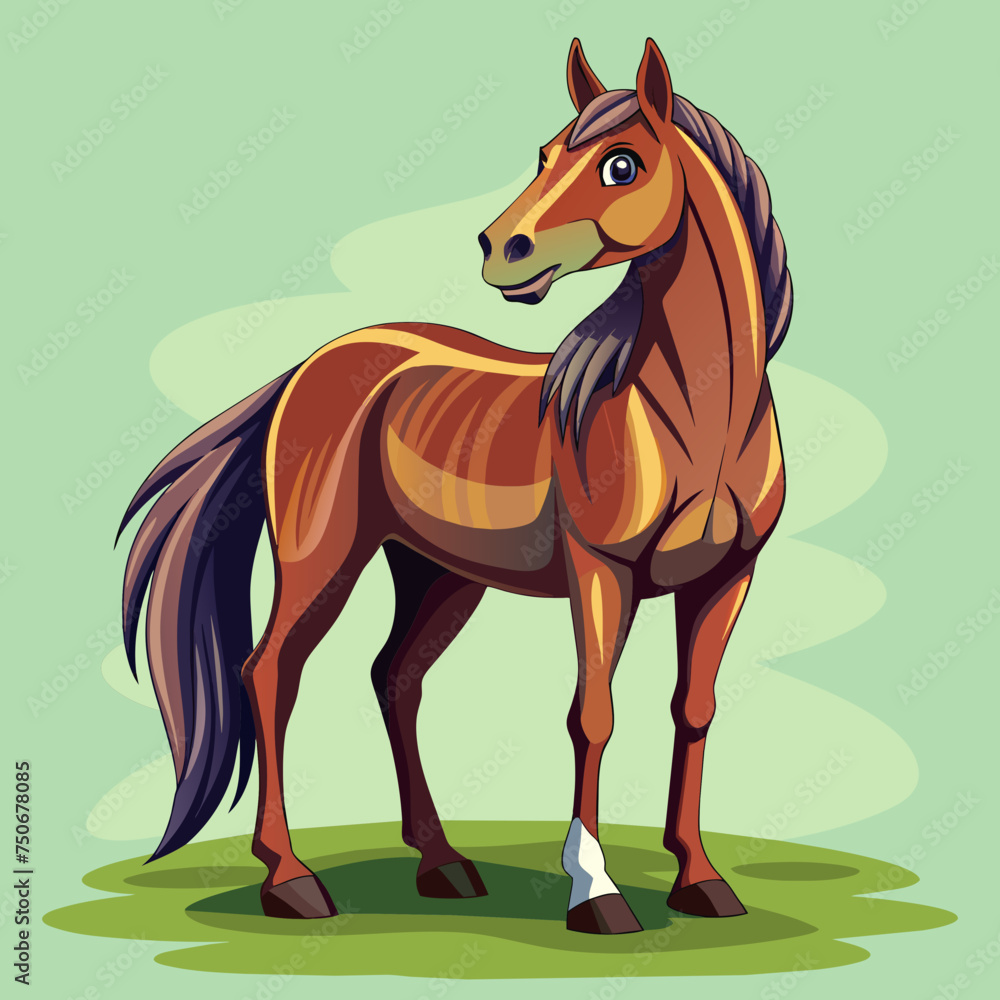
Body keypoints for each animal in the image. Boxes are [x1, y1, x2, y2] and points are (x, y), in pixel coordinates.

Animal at [119, 37, 792, 934]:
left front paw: (701, 880)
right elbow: (594, 714)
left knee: (394, 679)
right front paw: (596, 890)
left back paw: (440, 863)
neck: (692, 415)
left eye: (621, 163)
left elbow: (695, 710)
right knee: (269, 672)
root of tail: (312, 365)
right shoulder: (600, 574)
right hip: (324, 559)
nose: (501, 248)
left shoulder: (726, 579)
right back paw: (290, 879)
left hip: (438, 573)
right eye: (544, 154)